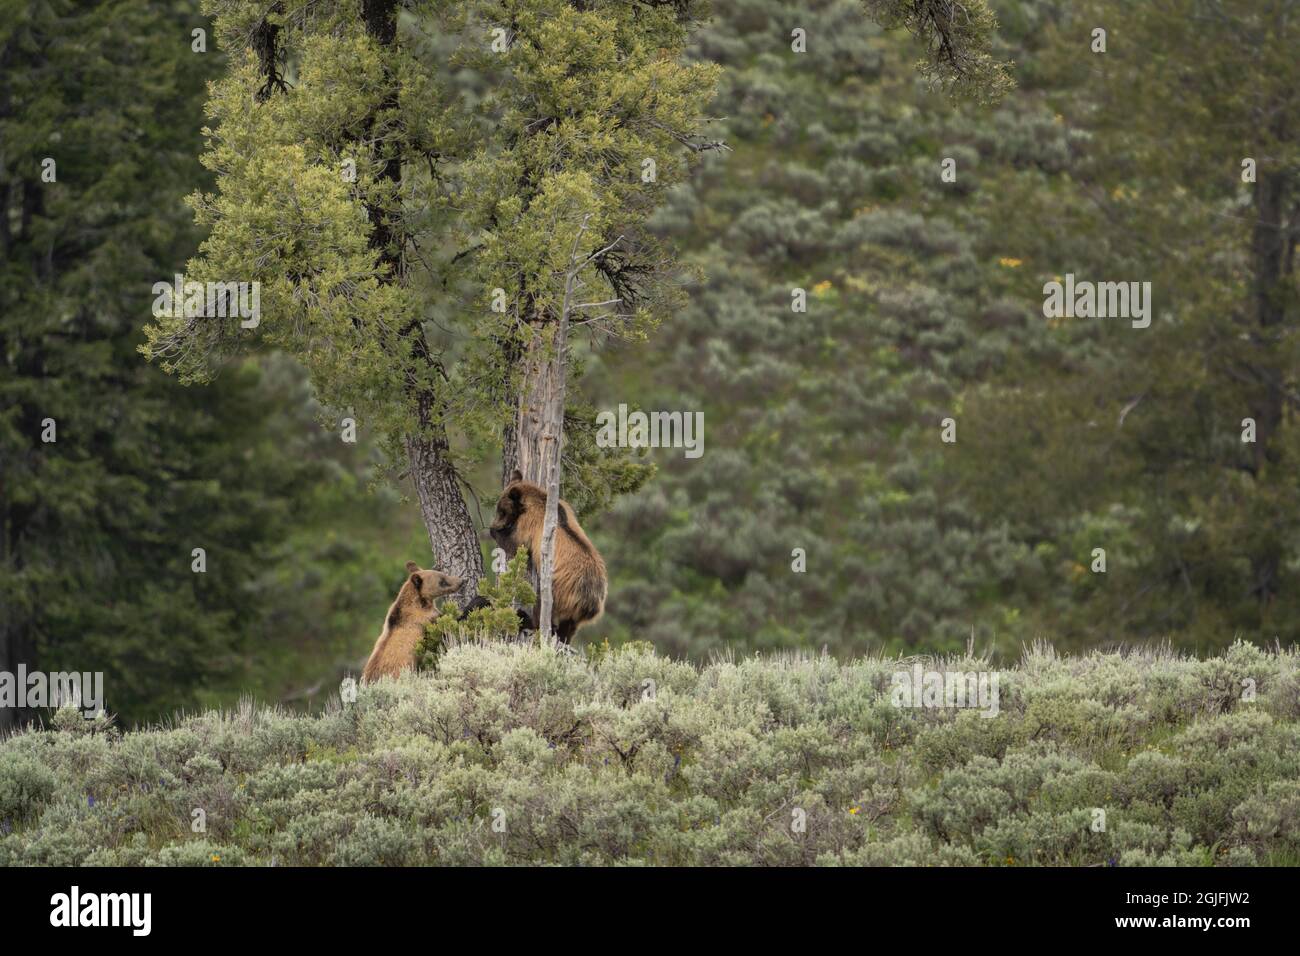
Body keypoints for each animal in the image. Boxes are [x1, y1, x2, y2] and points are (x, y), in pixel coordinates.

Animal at [488, 469, 607, 643]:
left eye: (502, 511)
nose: (495, 524)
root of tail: (590, 600)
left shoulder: (528, 525)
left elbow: (515, 545)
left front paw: (496, 533)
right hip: (575, 613)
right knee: (568, 628)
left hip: (557, 590)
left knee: (541, 603)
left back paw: (528, 620)